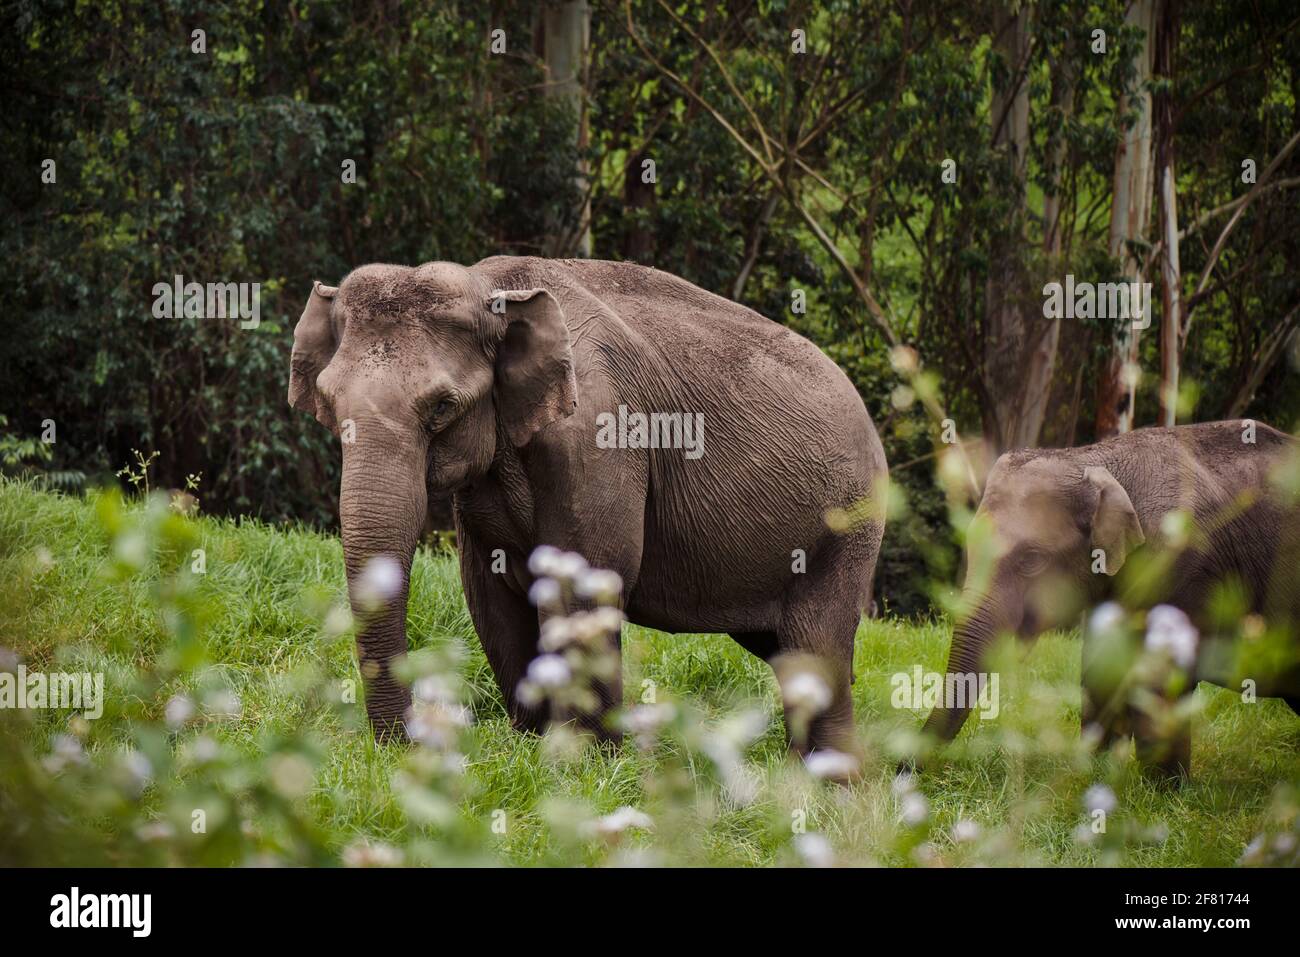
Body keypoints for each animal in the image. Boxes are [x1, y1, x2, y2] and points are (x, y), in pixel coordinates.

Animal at [289, 257, 889, 759]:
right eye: (330, 403)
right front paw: (531, 744)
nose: (403, 747)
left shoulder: (598, 436)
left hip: (847, 529)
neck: (493, 287)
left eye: (441, 407)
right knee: (787, 653)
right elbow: (492, 591)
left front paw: (584, 762)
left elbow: (584, 578)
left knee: (816, 646)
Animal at [915, 421, 1300, 780]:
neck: (1091, 456)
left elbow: (1160, 679)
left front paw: (1163, 793)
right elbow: (1102, 668)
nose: (907, 770)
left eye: (1031, 559)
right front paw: (1093, 776)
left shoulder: (1180, 563)